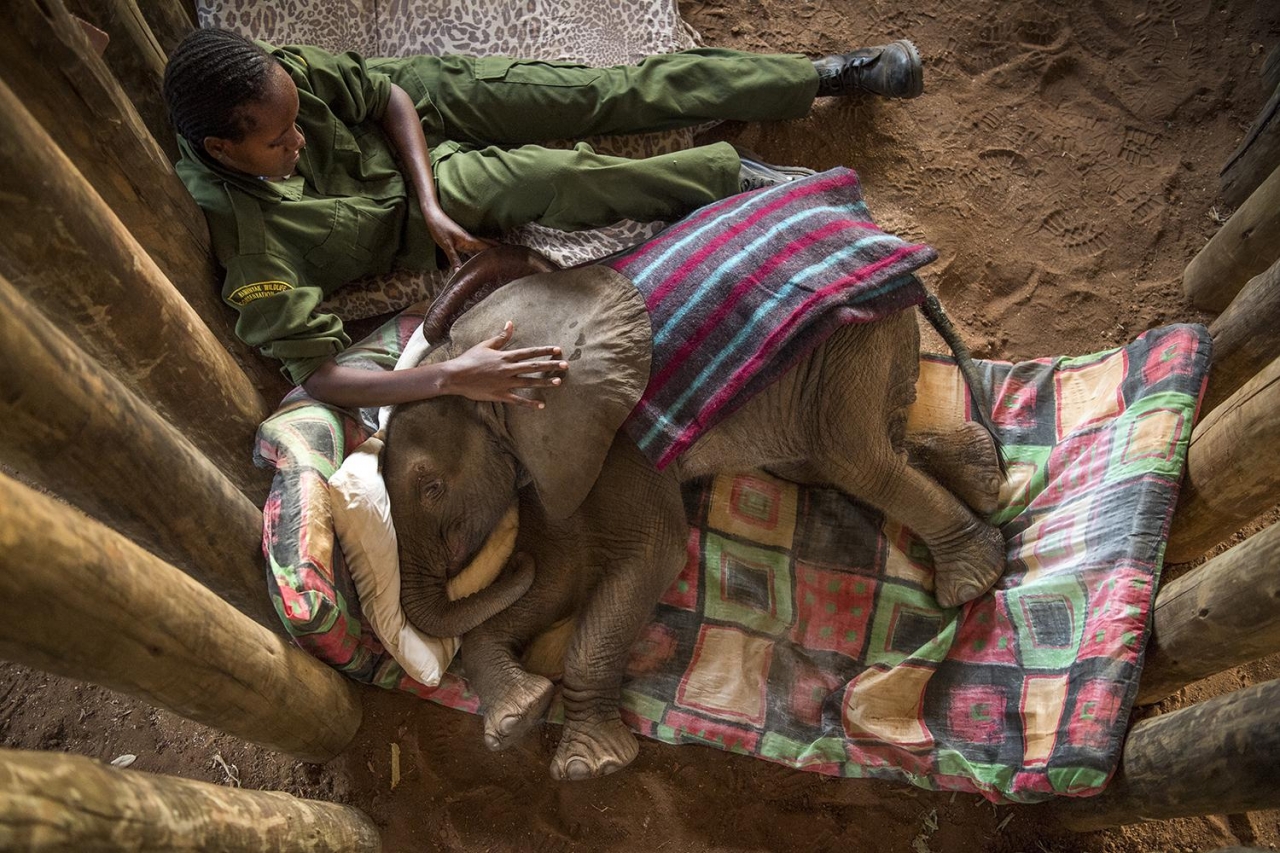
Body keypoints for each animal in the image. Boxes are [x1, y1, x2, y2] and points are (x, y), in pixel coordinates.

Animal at [383, 254, 1006, 781]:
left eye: (432, 489)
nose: (504, 559)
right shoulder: (554, 459)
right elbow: (562, 569)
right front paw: (518, 718)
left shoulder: (616, 438)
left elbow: (652, 551)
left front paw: (590, 768)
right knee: (835, 455)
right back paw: (982, 472)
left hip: (851, 340)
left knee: (855, 459)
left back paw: (971, 579)